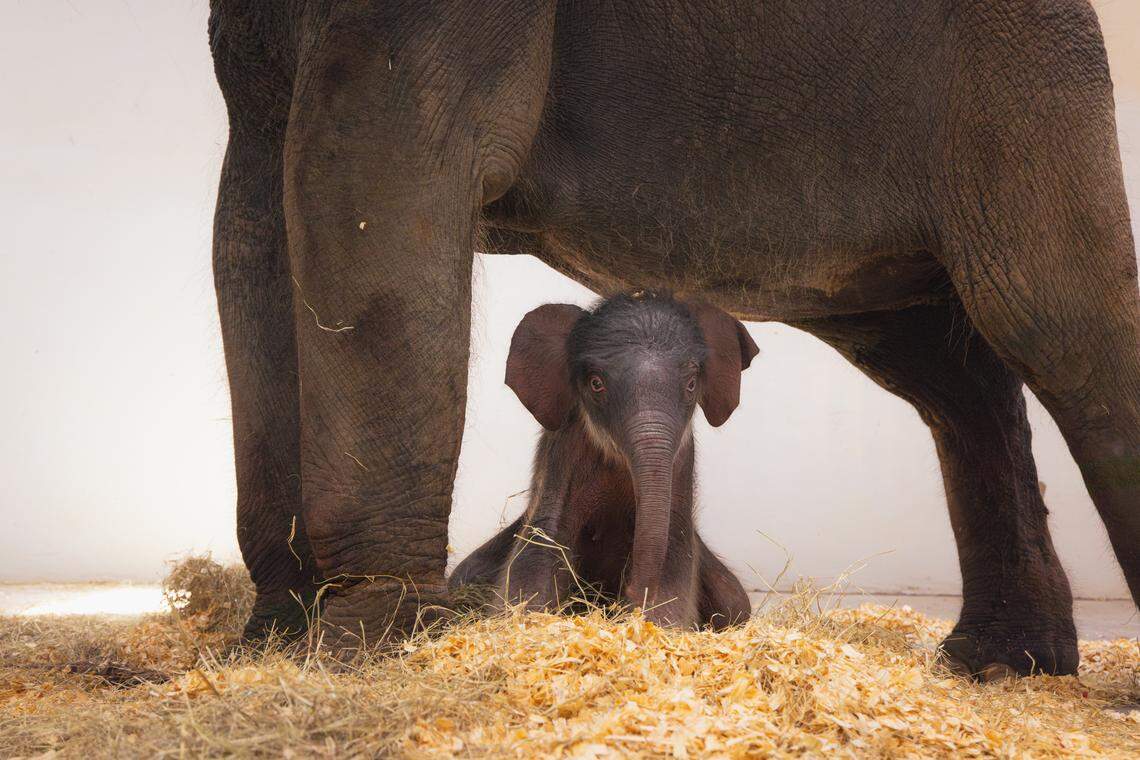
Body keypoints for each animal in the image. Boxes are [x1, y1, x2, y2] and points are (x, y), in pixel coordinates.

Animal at [449, 292, 755, 630]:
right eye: (596, 384)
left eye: (690, 384)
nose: (629, 590)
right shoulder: (565, 453)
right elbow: (542, 542)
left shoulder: (682, 459)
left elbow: (675, 550)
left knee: (734, 601)